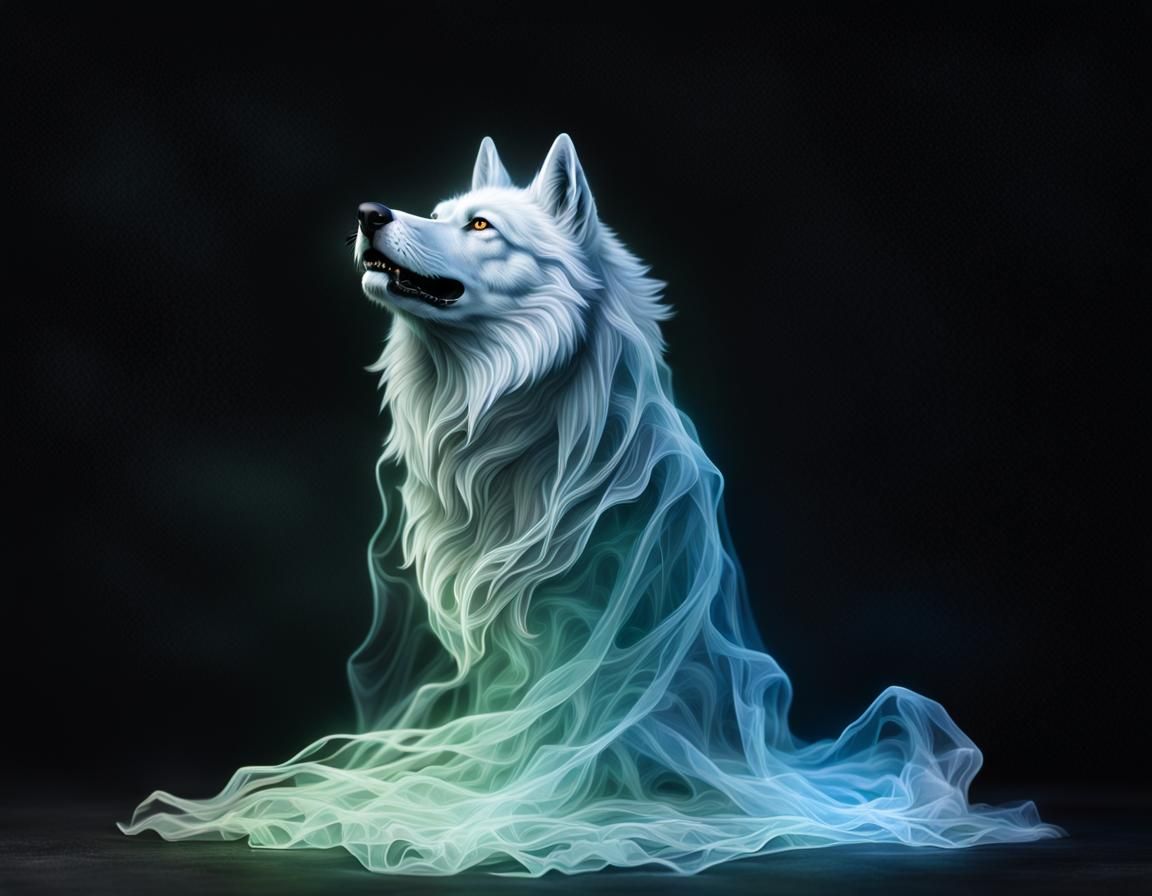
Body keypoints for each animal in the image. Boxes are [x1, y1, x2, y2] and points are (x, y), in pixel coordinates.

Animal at [119, 135, 1061, 874]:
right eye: (440, 209)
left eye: (480, 226)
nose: (366, 211)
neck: (503, 410)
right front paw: (482, 799)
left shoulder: (600, 618)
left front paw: (540, 816)